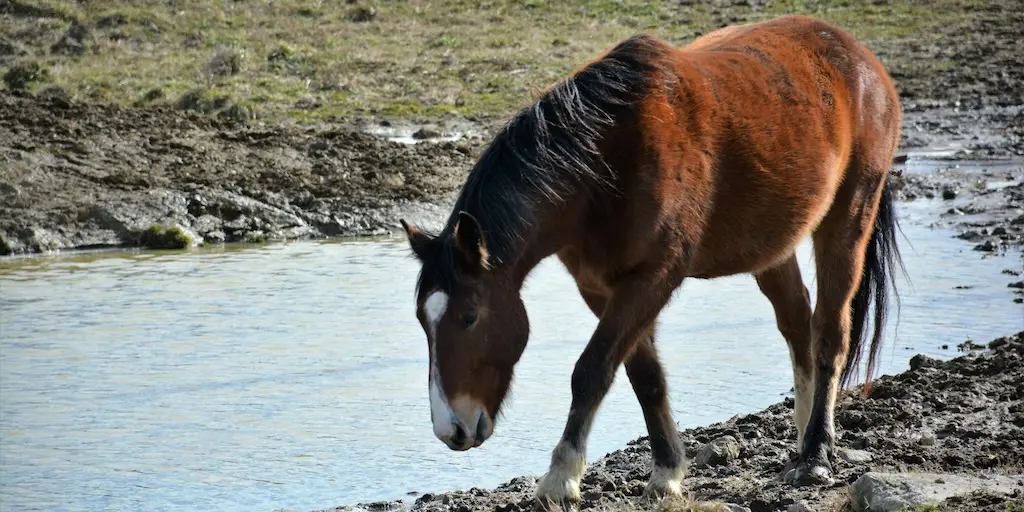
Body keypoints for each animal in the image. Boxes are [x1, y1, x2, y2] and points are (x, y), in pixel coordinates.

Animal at [399, 14, 904, 508]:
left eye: (469, 316)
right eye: (423, 321)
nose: (451, 429)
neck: (603, 165)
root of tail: (860, 57)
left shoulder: (652, 278)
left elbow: (591, 371)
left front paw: (560, 478)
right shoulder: (599, 287)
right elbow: (644, 377)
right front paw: (667, 472)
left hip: (848, 219)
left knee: (829, 334)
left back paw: (816, 453)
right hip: (773, 244)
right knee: (797, 321)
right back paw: (801, 436)